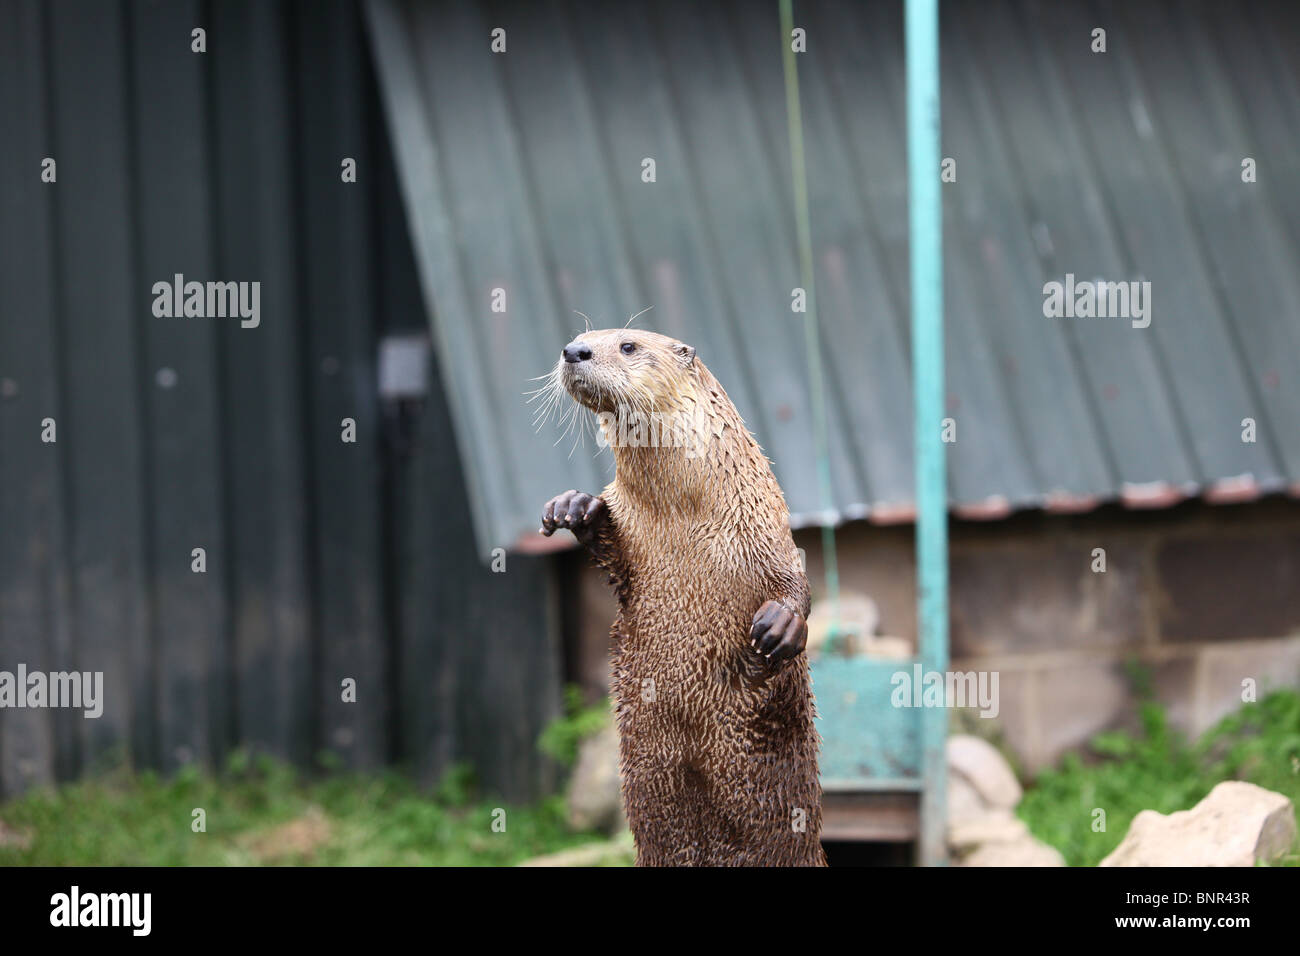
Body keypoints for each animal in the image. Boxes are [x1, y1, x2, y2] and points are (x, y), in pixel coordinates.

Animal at [538, 328, 824, 866]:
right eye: (582, 337)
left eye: (627, 345)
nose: (573, 350)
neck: (684, 518)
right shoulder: (630, 534)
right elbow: (611, 552)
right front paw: (574, 506)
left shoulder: (763, 520)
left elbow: (793, 576)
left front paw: (781, 626)